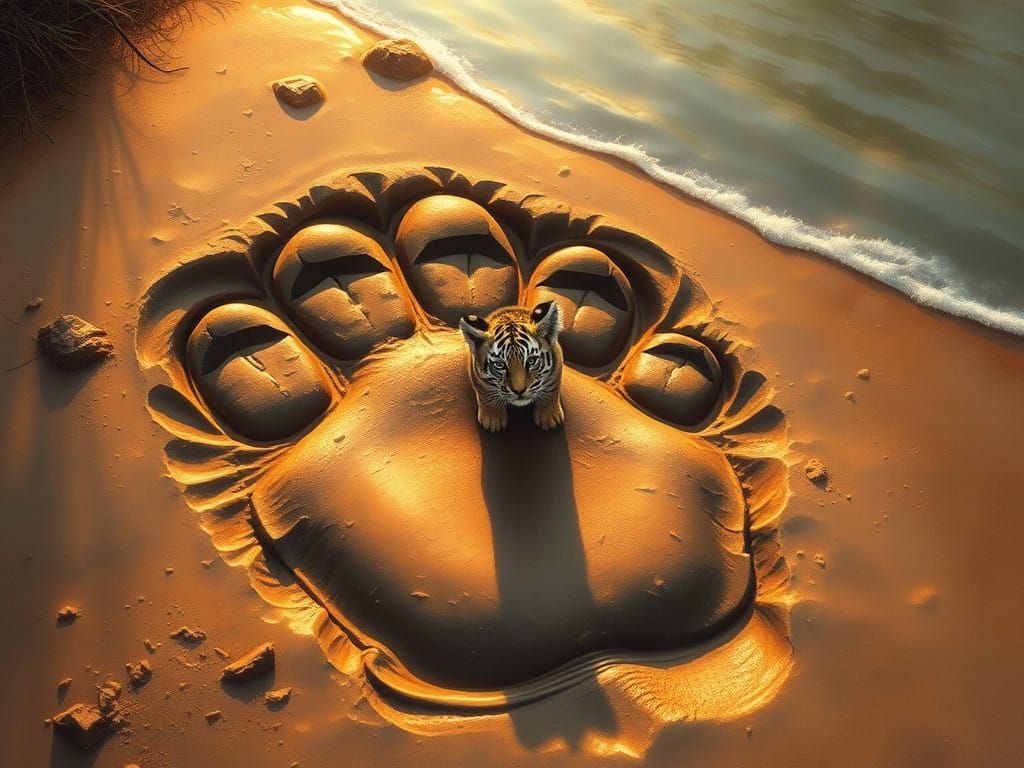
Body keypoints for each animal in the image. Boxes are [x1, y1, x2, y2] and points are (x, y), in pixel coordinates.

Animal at [458, 301, 564, 432]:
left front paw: (550, 418)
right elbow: (486, 394)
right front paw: (493, 420)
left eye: (531, 361)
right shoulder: (478, 377)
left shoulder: (555, 372)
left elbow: (551, 391)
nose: (519, 391)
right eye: (500, 365)